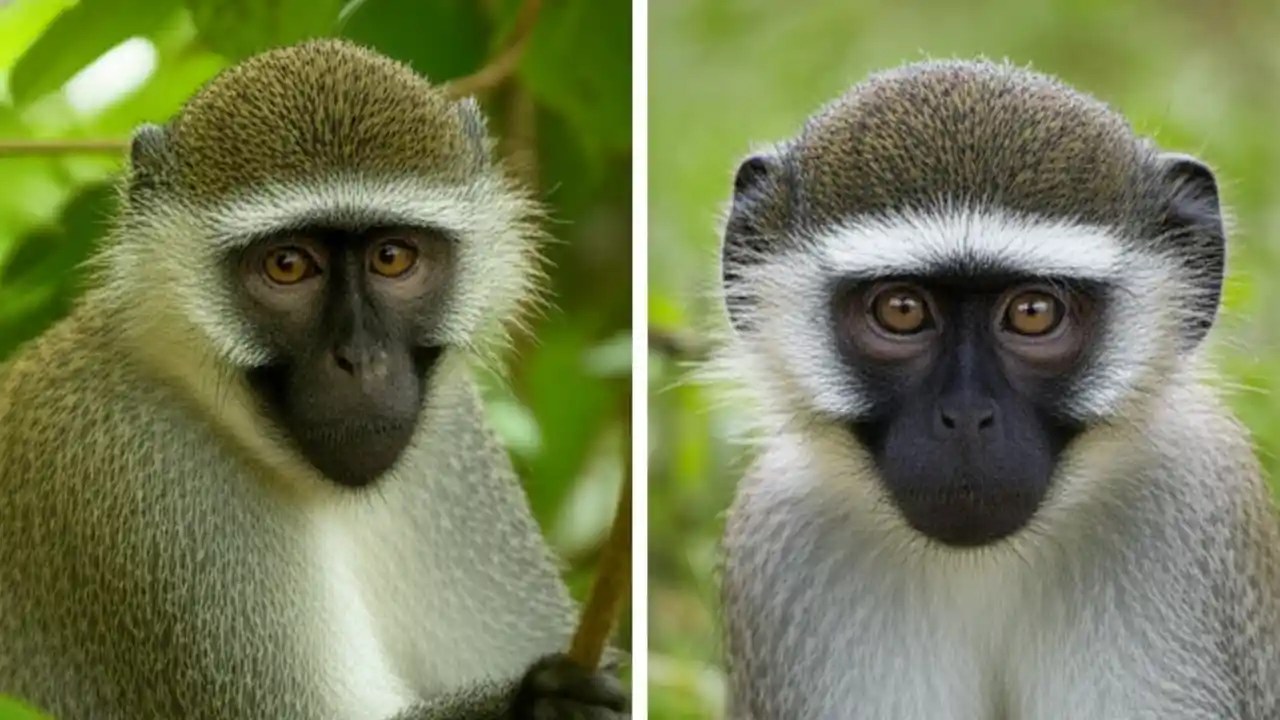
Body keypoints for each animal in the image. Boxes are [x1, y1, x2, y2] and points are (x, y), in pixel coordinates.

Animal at [0, 39, 627, 720]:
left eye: (392, 257)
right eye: (287, 265)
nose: (360, 359)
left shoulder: (455, 442)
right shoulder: (139, 485)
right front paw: (539, 701)